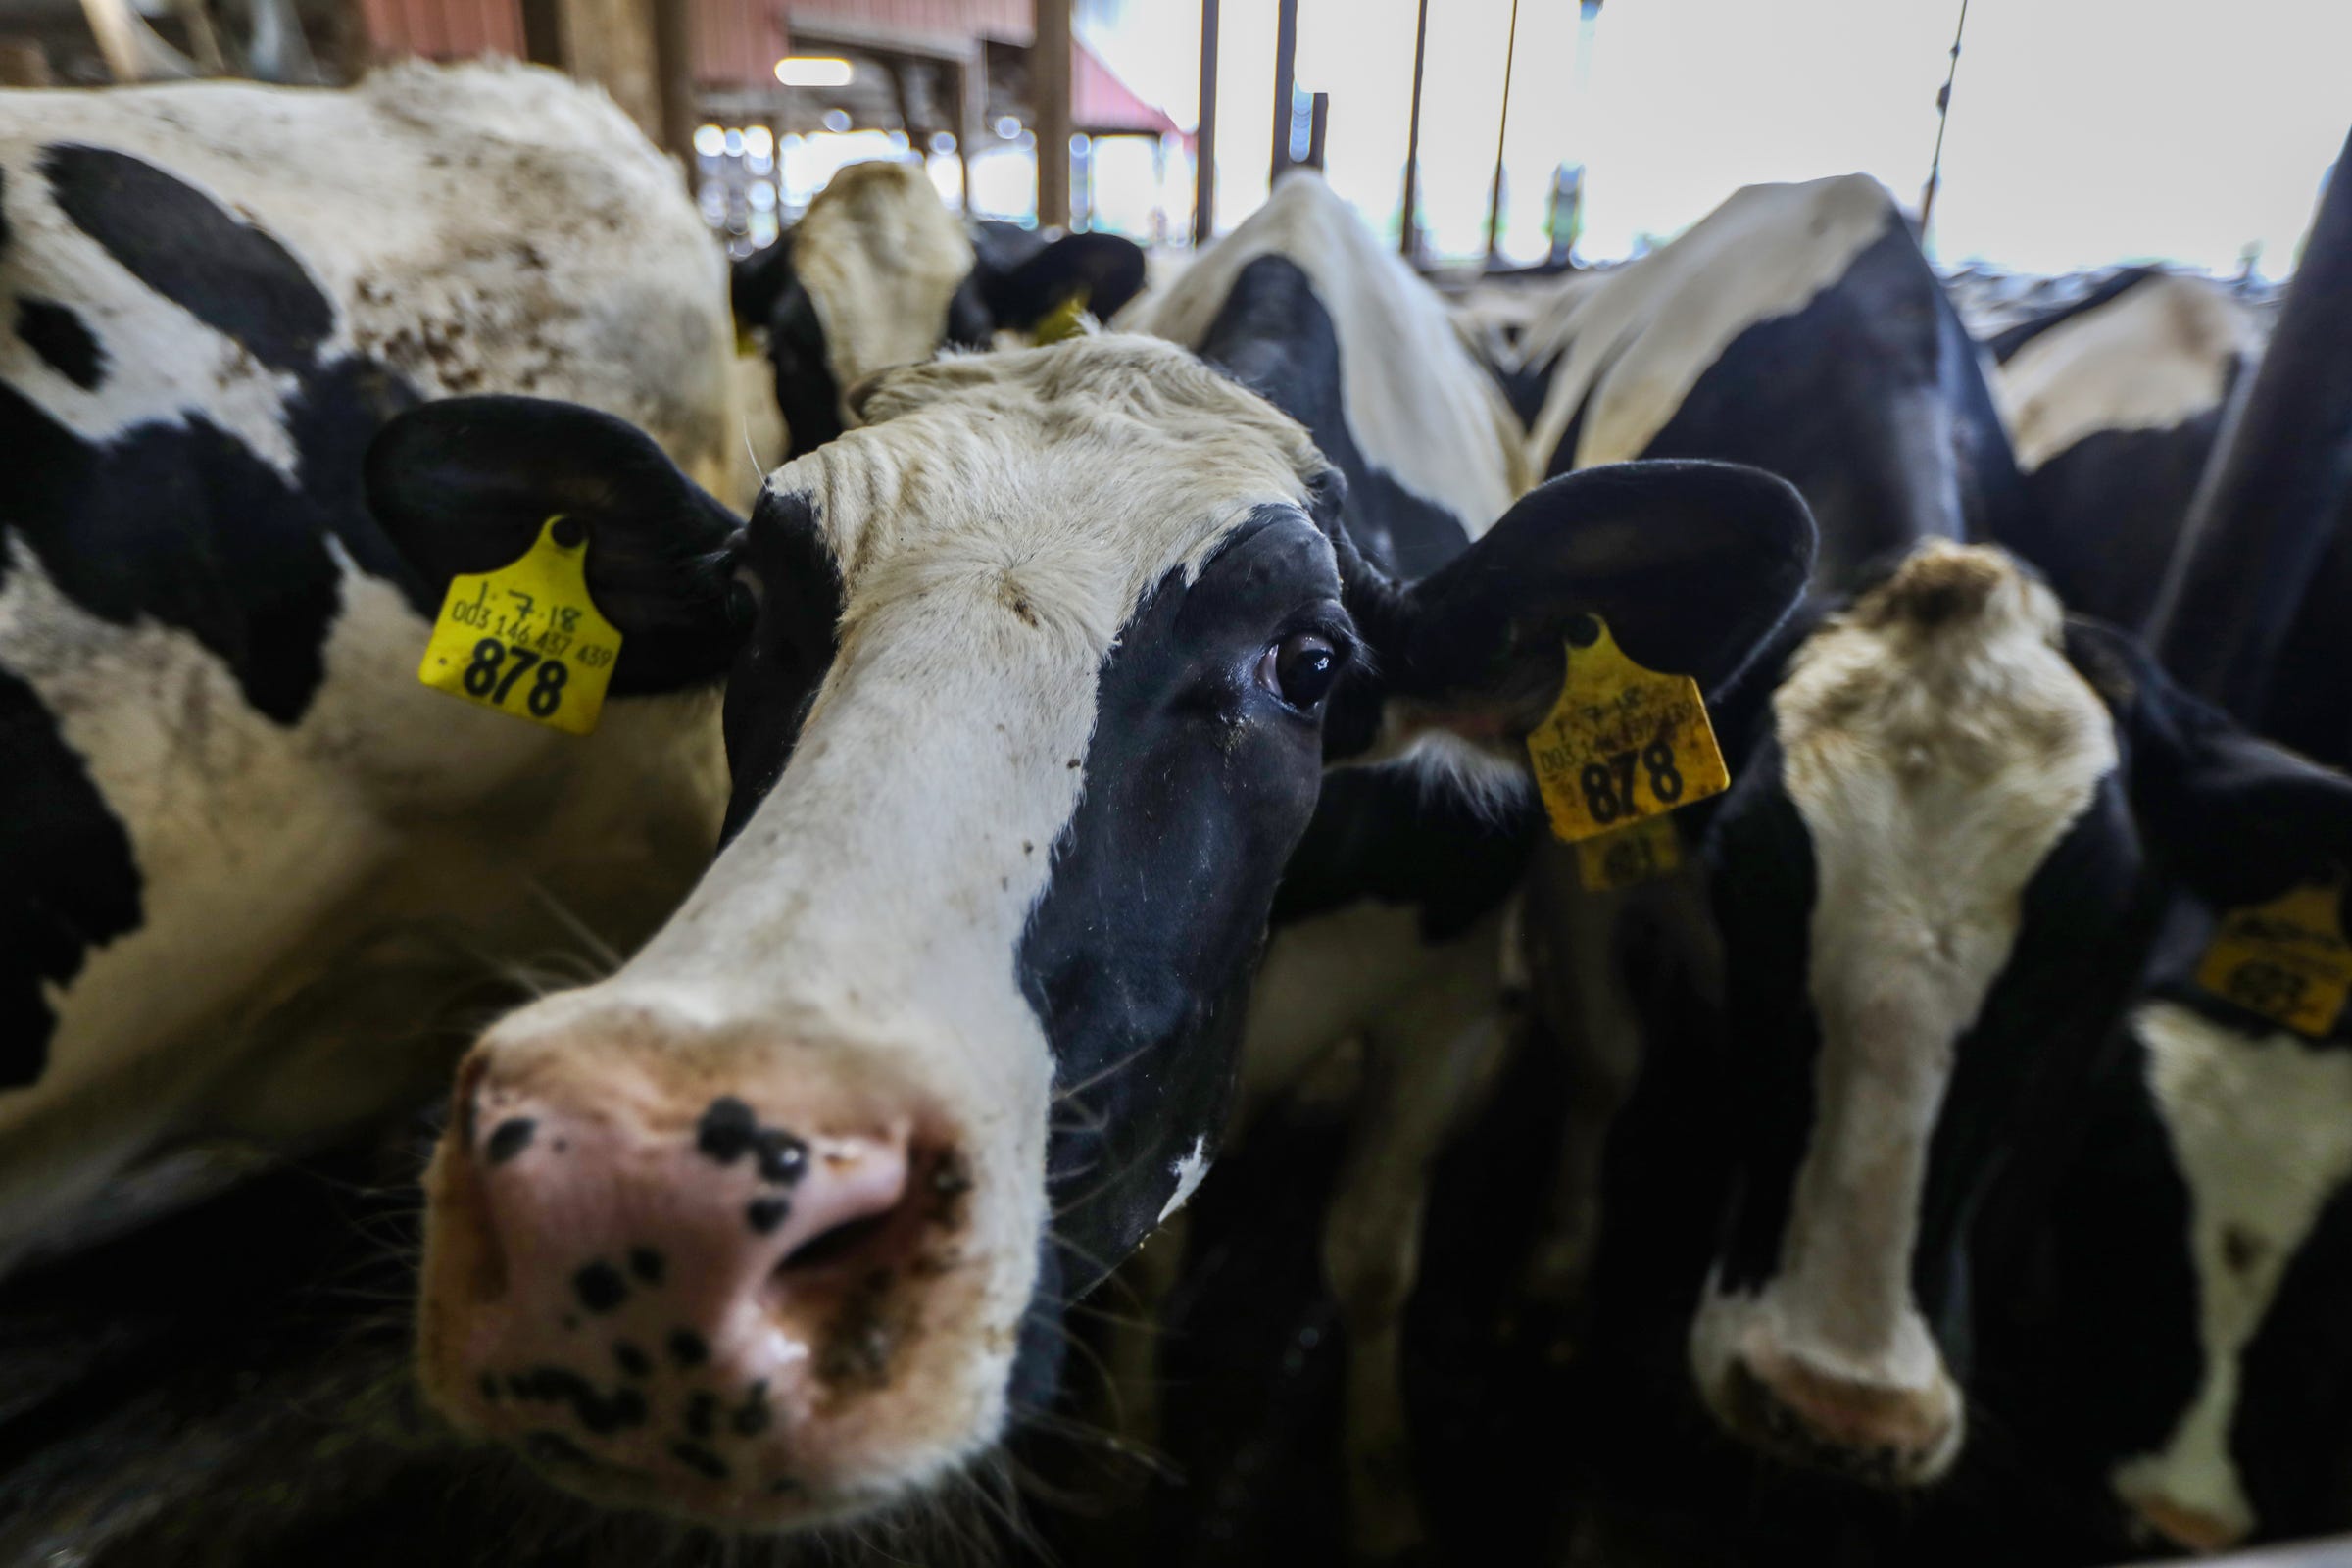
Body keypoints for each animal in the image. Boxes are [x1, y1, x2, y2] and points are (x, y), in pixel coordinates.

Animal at [359, 327, 1817, 1533]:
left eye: (1310, 662)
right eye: (750, 607)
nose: (639, 1190)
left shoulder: (1445, 999)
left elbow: (1370, 1259)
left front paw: (1383, 1494)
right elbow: (1162, 1259)